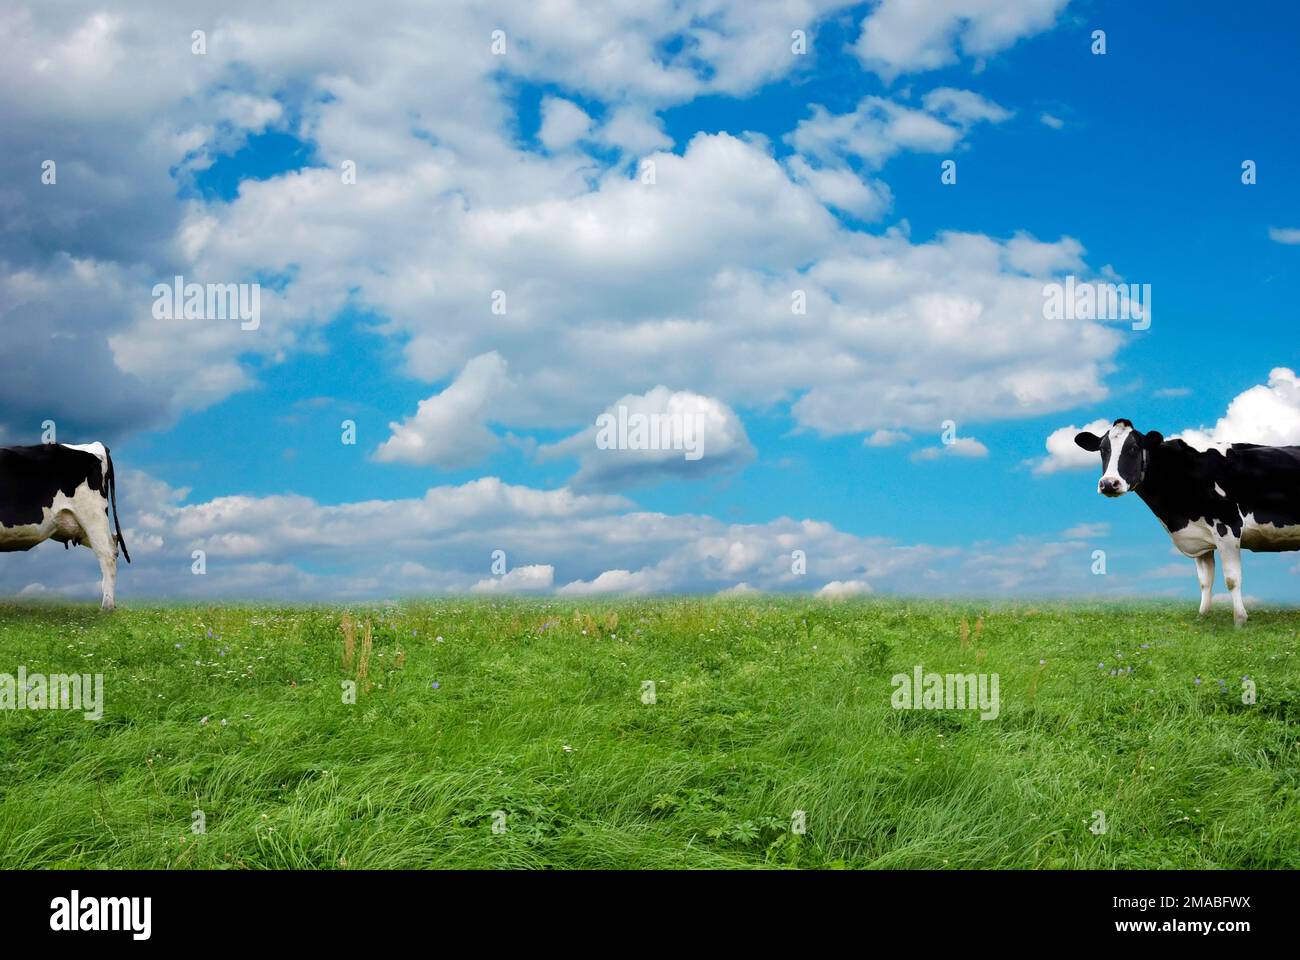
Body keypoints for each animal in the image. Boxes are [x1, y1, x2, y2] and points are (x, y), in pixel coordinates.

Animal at [1075, 418, 1300, 626]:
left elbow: (1232, 579)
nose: (1108, 484)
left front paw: (1239, 620)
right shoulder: (1200, 539)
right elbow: (1205, 581)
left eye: (1133, 448)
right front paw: (1202, 617)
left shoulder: (1227, 526)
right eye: (1103, 449)